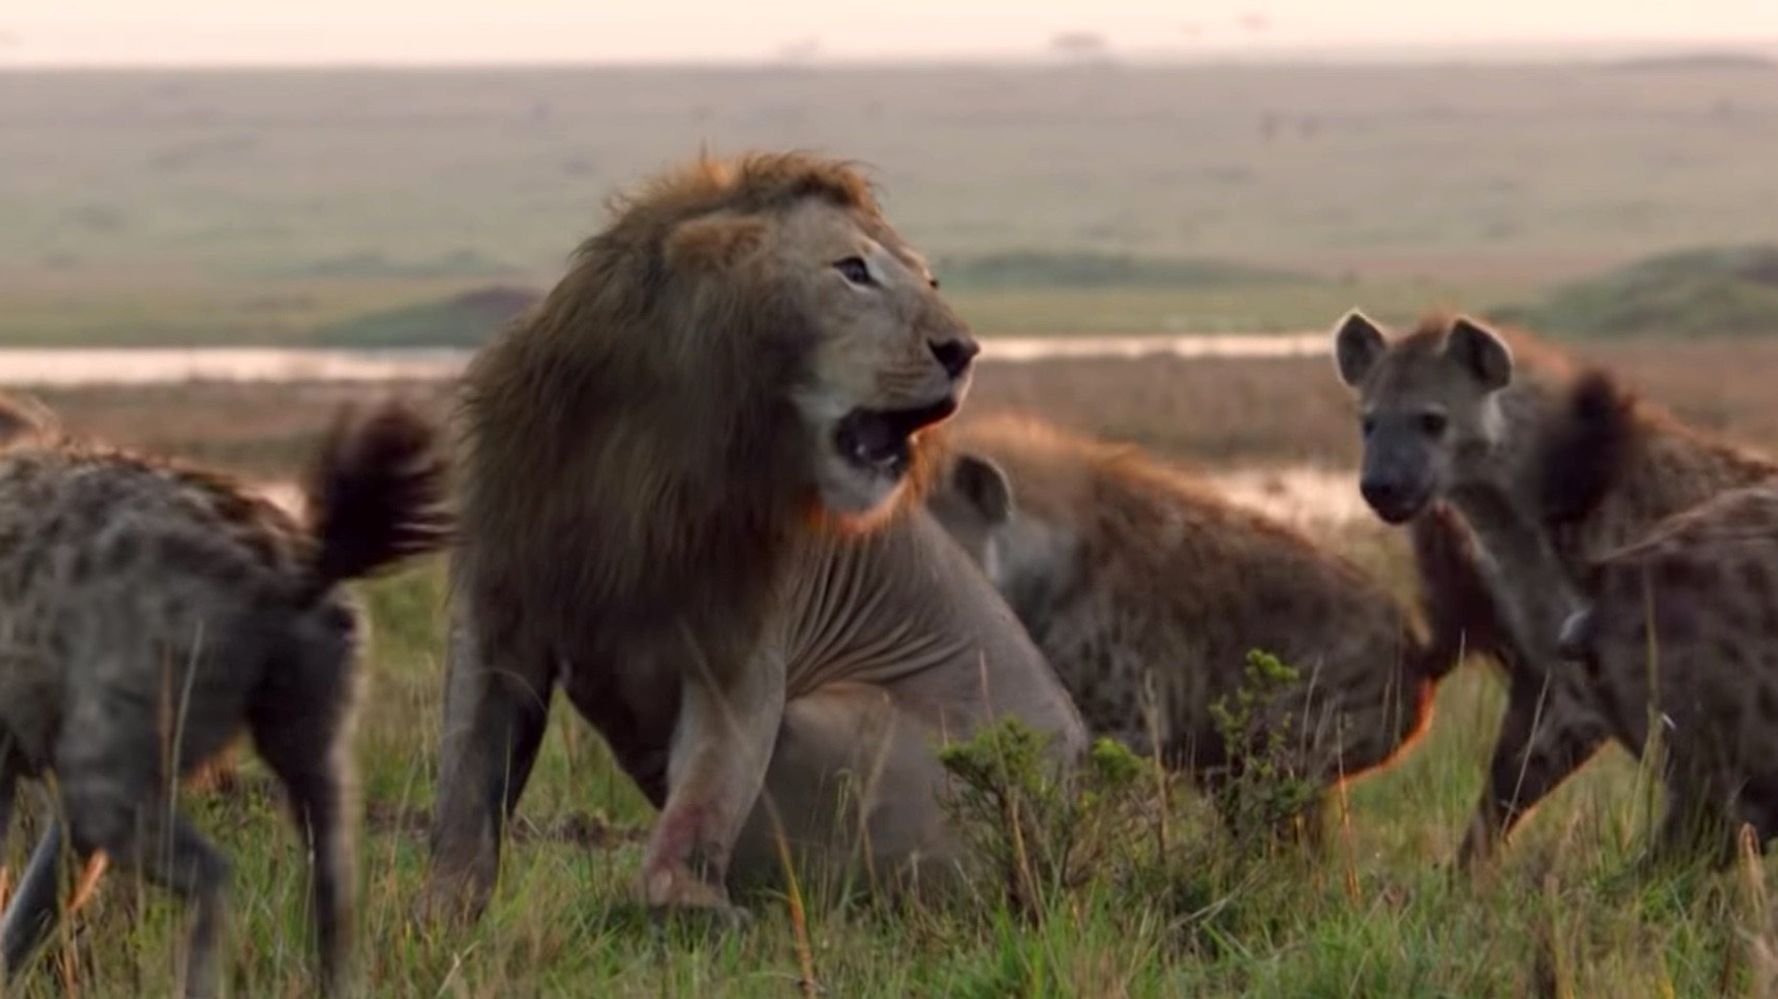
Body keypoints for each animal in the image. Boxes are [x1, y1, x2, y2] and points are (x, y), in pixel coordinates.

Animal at [422, 153, 1087, 920]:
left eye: (930, 282)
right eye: (853, 271)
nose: (964, 350)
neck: (649, 443)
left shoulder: (741, 643)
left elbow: (707, 792)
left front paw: (686, 902)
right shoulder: (499, 605)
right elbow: (467, 781)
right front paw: (439, 912)